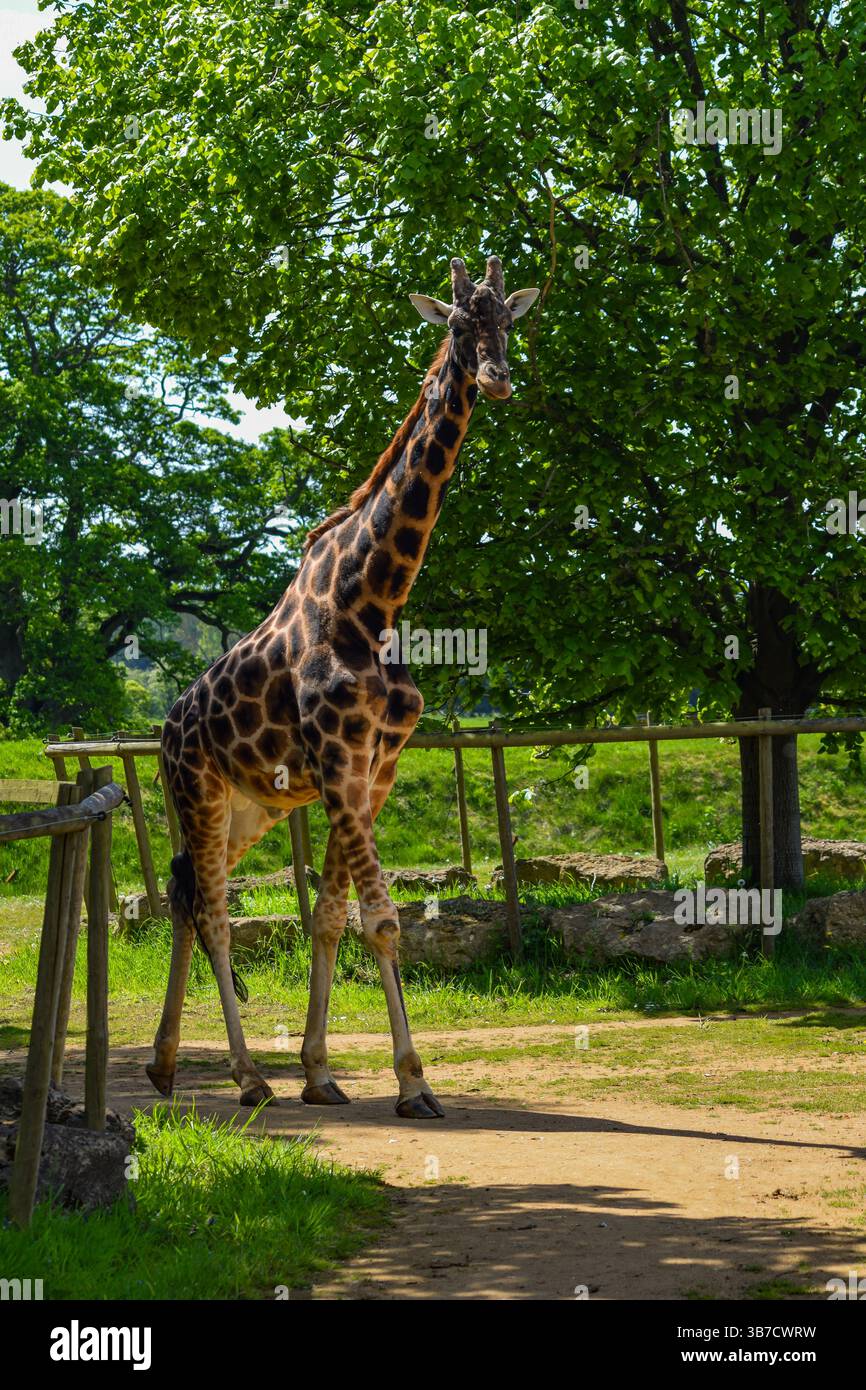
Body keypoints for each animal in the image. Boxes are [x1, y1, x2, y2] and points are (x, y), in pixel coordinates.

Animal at [147, 256, 539, 1118]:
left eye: (509, 322)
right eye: (457, 326)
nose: (496, 379)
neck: (372, 601)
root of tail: (162, 732)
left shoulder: (373, 768)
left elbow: (330, 917)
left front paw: (321, 1072)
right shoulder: (338, 762)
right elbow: (383, 920)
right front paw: (414, 1083)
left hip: (248, 809)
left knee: (188, 896)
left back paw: (163, 1066)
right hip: (200, 791)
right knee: (214, 912)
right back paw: (246, 1077)